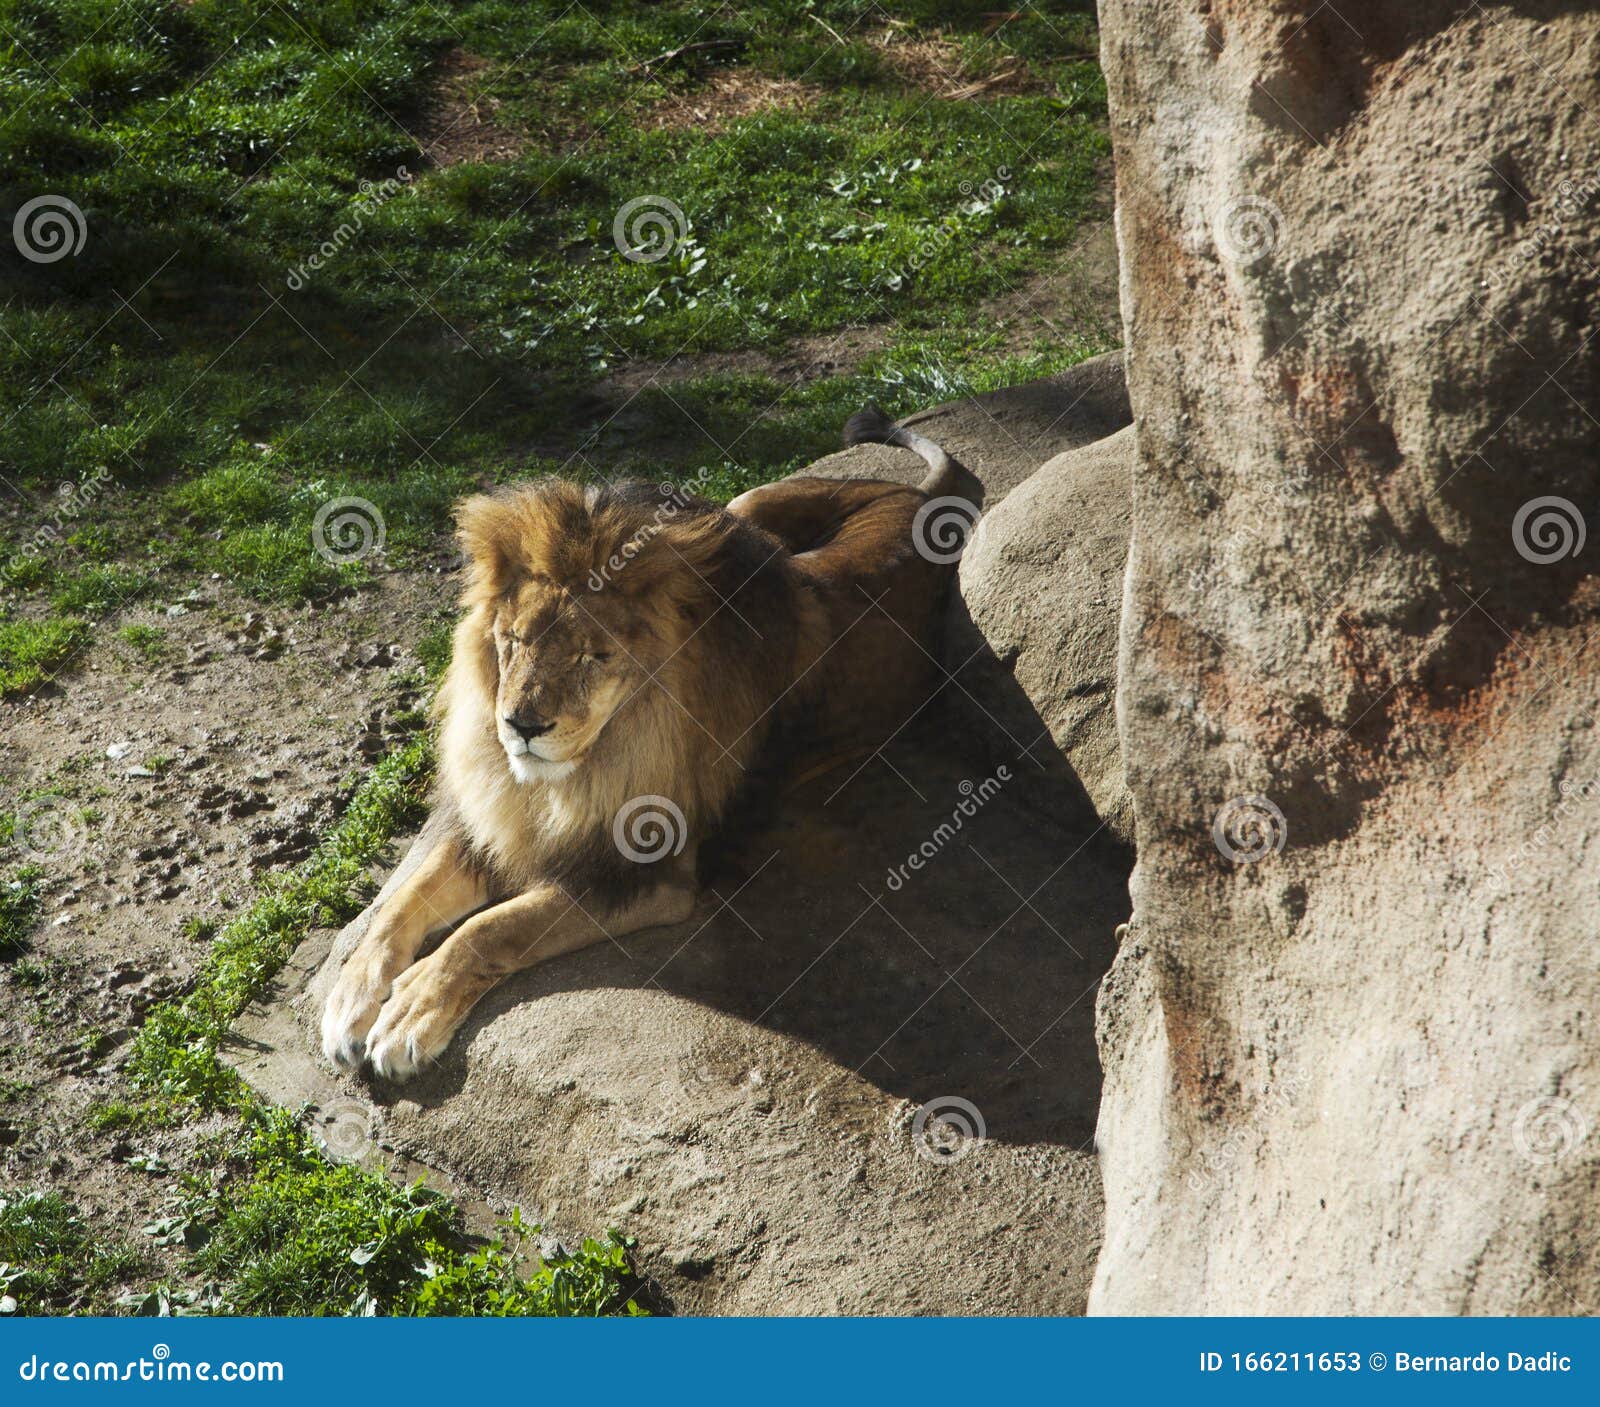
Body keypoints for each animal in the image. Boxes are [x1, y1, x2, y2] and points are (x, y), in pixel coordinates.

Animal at [321, 408, 980, 1080]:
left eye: (592, 657)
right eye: (514, 641)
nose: (520, 726)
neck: (579, 772)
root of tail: (914, 497)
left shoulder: (650, 876)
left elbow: (495, 927)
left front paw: (410, 1014)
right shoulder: (496, 822)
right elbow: (401, 902)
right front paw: (351, 996)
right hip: (741, 510)